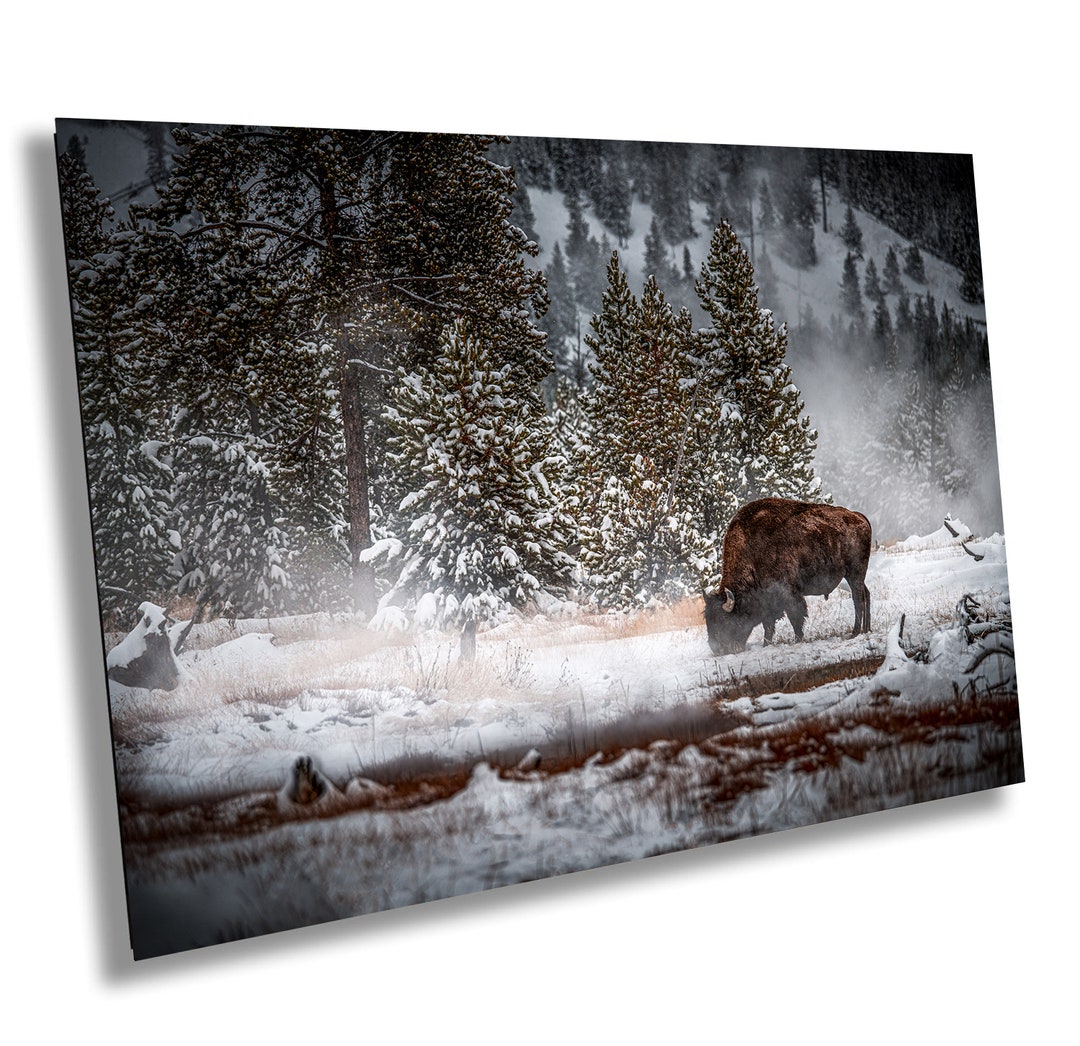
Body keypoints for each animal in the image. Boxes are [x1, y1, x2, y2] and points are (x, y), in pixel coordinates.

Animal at [704, 497, 872, 655]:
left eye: (725, 621)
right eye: (707, 620)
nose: (718, 649)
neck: (752, 552)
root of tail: (858, 517)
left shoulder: (789, 594)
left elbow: (795, 618)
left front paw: (797, 640)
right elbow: (769, 626)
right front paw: (766, 645)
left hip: (854, 572)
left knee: (858, 598)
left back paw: (855, 632)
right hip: (854, 575)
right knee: (866, 594)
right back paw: (866, 629)